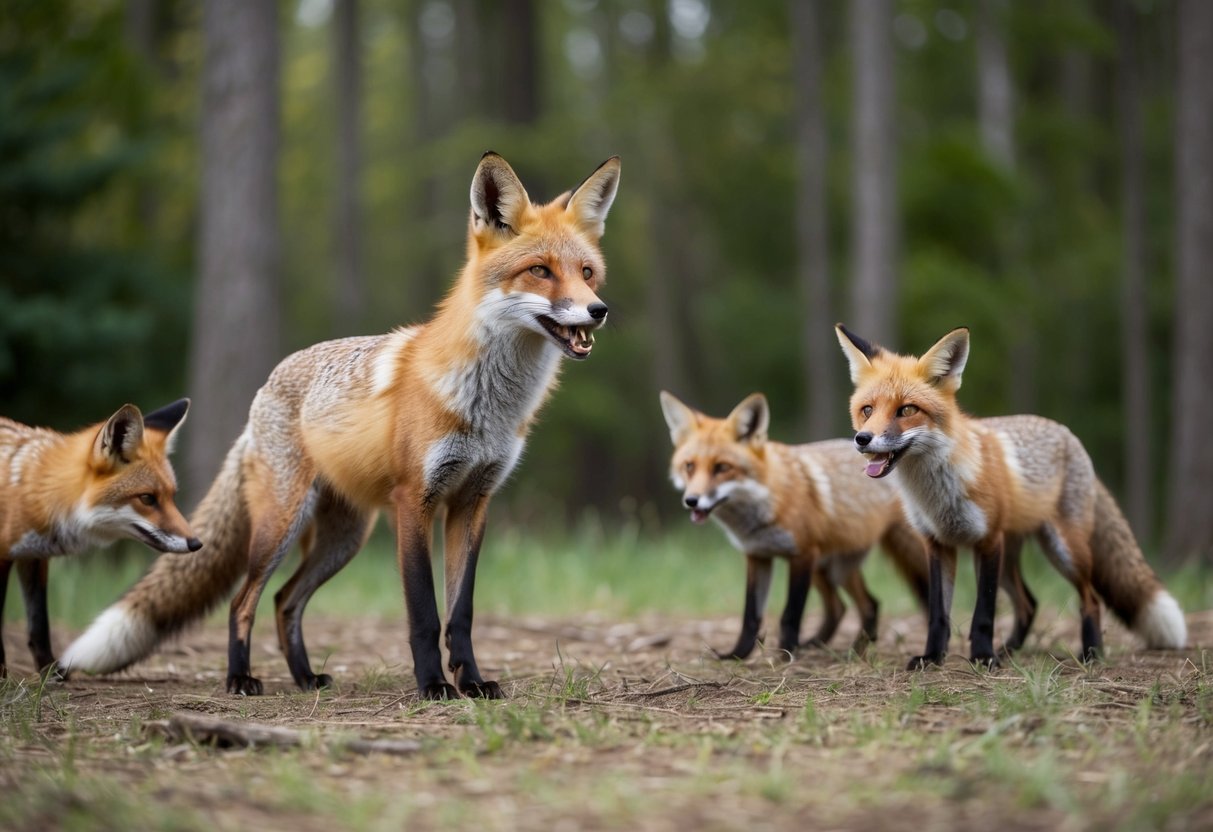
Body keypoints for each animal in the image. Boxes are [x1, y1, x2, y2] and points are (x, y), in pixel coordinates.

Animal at [0, 399, 199, 677]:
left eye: (172, 497)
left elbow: (39, 623)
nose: (197, 543)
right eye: (147, 498)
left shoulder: (34, 556)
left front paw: (50, 671)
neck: (36, 491)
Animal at [62, 152, 620, 700]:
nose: (598, 310)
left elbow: (460, 613)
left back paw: (306, 678)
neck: (488, 406)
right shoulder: (413, 500)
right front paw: (434, 685)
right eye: (540, 270)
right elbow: (424, 612)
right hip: (282, 525)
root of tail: (264, 391)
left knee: (284, 600)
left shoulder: (472, 502)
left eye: (587, 272)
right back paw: (240, 679)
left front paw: (473, 682)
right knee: (243, 601)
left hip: (344, 538)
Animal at [660, 391, 930, 660]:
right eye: (689, 466)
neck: (767, 507)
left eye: (722, 468)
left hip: (885, 554)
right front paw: (737, 655)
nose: (691, 500)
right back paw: (844, 649)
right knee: (857, 605)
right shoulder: (757, 556)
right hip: (834, 568)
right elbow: (750, 616)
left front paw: (786, 655)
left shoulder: (802, 555)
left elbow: (790, 614)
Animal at [835, 323, 1187, 669]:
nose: (862, 439)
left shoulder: (989, 540)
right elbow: (938, 614)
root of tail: (1070, 436)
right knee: (1029, 603)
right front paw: (933, 657)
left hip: (1063, 550)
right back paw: (1009, 651)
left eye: (907, 409)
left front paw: (983, 657)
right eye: (867, 410)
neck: (936, 494)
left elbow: (984, 611)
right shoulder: (937, 544)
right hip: (1011, 558)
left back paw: (1090, 654)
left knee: (1090, 599)